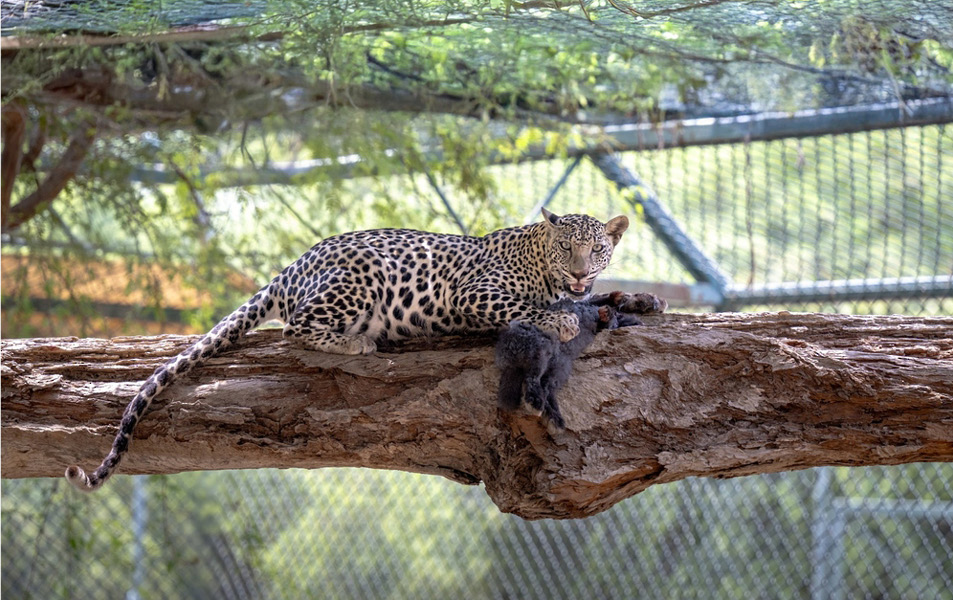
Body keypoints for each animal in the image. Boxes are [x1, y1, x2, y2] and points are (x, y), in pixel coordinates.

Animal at [66, 208, 634, 491]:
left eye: (596, 249)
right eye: (566, 248)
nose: (580, 272)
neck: (542, 263)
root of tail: (291, 266)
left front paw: (614, 300)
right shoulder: (473, 292)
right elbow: (525, 307)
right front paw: (562, 319)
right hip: (360, 278)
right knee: (294, 328)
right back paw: (358, 342)